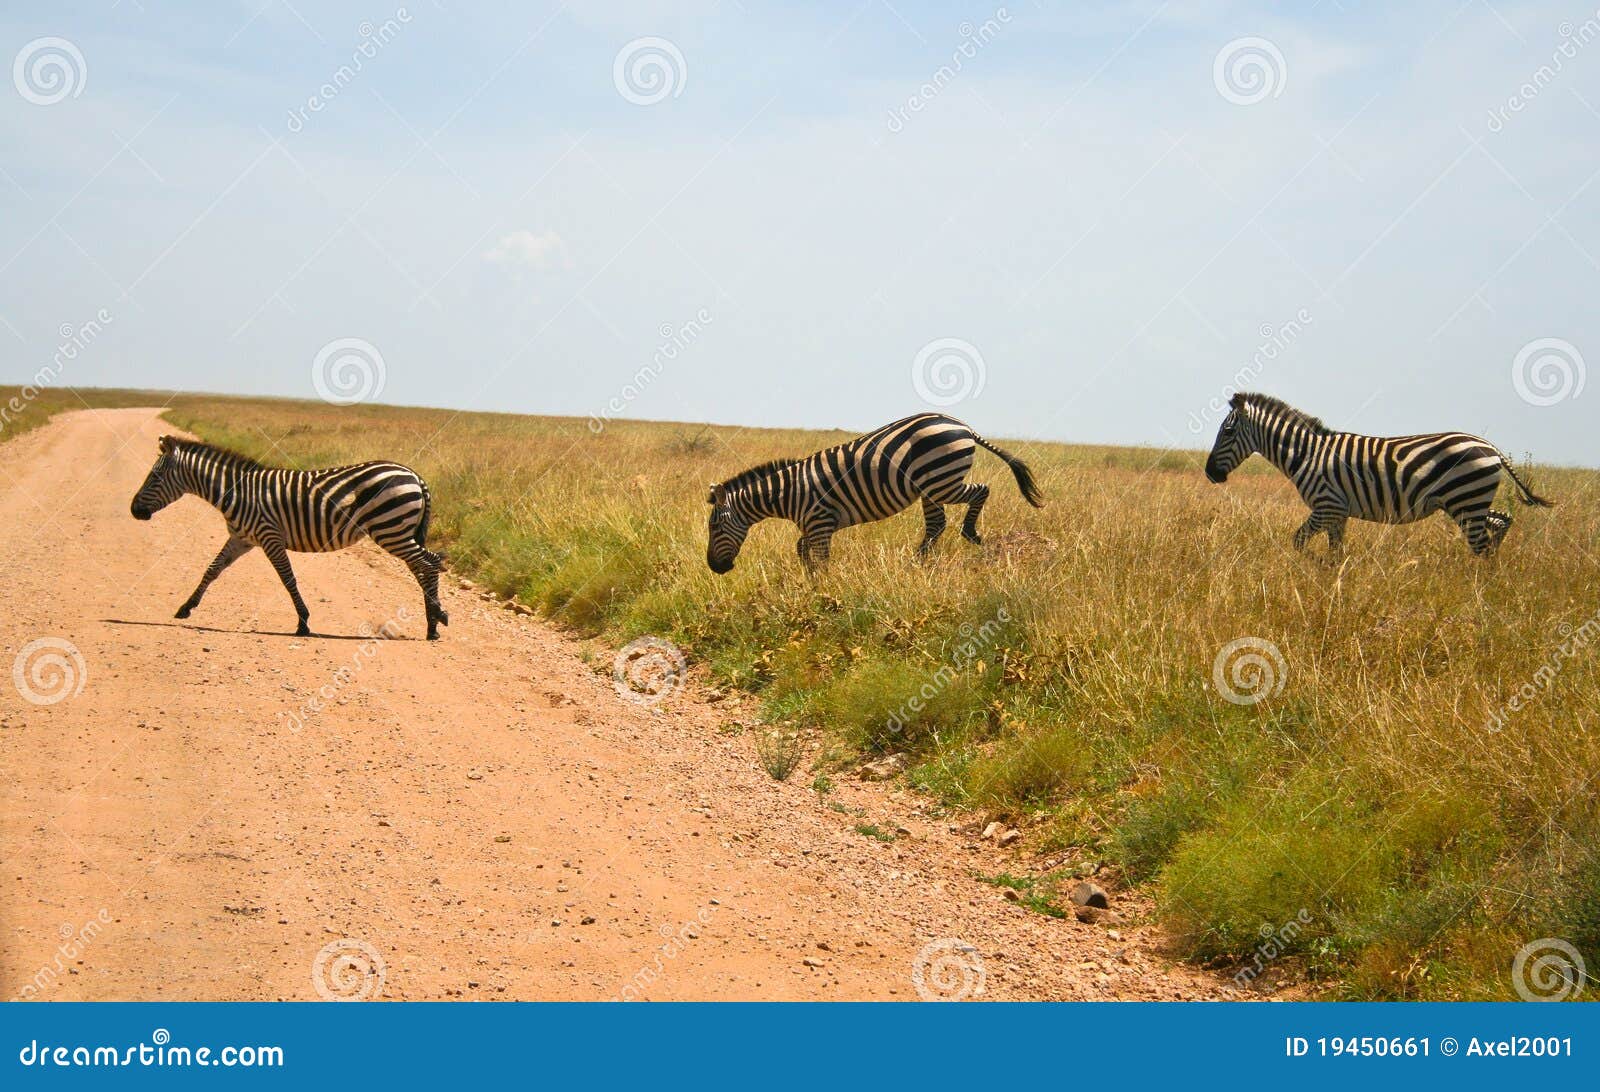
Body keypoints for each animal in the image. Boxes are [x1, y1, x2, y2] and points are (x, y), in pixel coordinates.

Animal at [130, 435, 449, 639]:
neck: (237, 493)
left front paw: (303, 623)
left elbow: (287, 579)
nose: (134, 511)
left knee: (431, 563)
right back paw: (431, 625)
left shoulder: (269, 536)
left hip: (390, 528)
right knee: (423, 567)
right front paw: (186, 607)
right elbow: (212, 569)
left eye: (154, 478)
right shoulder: (241, 539)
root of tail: (414, 475)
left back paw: (437, 620)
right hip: (399, 531)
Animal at [706, 413, 1044, 573]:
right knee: (936, 524)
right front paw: (808, 578)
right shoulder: (812, 527)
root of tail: (963, 426)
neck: (789, 494)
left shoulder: (820, 523)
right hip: (932, 485)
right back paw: (916, 564)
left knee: (980, 491)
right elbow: (801, 550)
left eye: (714, 527)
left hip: (942, 480)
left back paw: (969, 534)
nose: (715, 568)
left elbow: (820, 558)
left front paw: (822, 587)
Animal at [1203, 392, 1553, 558]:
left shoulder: (1327, 506)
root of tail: (1490, 446)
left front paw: (1315, 567)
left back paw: (1480, 589)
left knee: (1482, 543)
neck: (1306, 454)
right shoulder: (1338, 512)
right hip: (1467, 501)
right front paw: (1332, 580)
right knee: (1502, 520)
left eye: (1228, 431)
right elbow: (1336, 552)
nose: (1209, 473)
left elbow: (1299, 541)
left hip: (1465, 499)